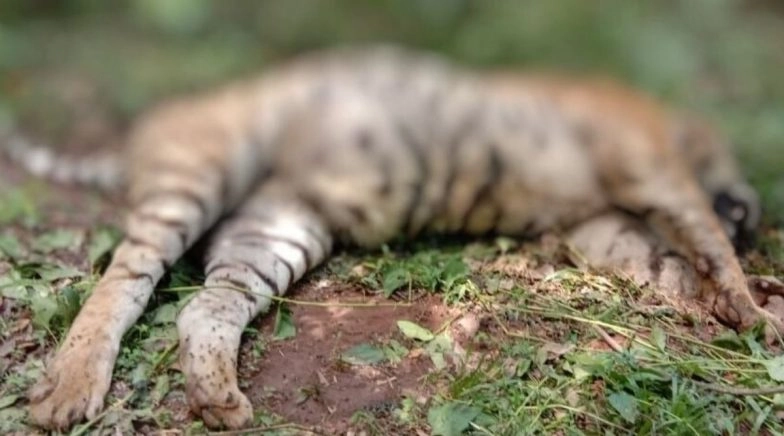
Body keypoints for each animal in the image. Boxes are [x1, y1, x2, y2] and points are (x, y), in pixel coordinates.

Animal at [4, 45, 783, 430]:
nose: (754, 212)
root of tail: (144, 134)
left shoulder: (598, 222)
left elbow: (665, 261)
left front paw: (730, 304)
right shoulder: (649, 163)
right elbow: (704, 238)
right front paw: (756, 311)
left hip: (277, 230)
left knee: (204, 307)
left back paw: (220, 403)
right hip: (197, 176)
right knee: (119, 283)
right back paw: (66, 393)